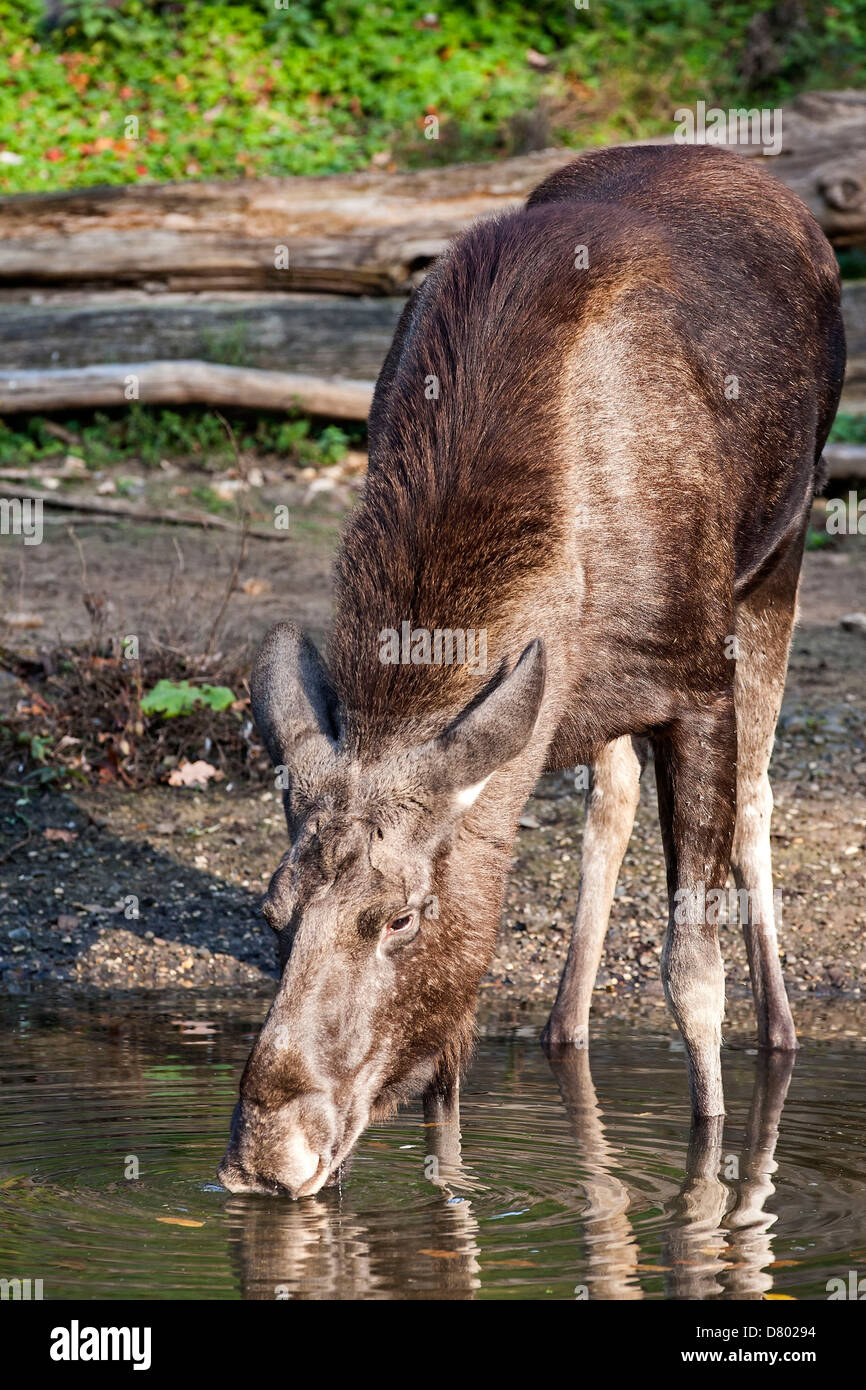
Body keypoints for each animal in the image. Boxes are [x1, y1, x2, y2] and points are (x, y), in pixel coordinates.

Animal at [218, 143, 845, 1197]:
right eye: (271, 911)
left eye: (399, 917)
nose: (266, 1156)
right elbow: (452, 1047)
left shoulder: (697, 685)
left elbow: (692, 976)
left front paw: (710, 1177)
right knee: (612, 794)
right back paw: (565, 1029)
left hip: (785, 548)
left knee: (759, 795)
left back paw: (783, 1036)